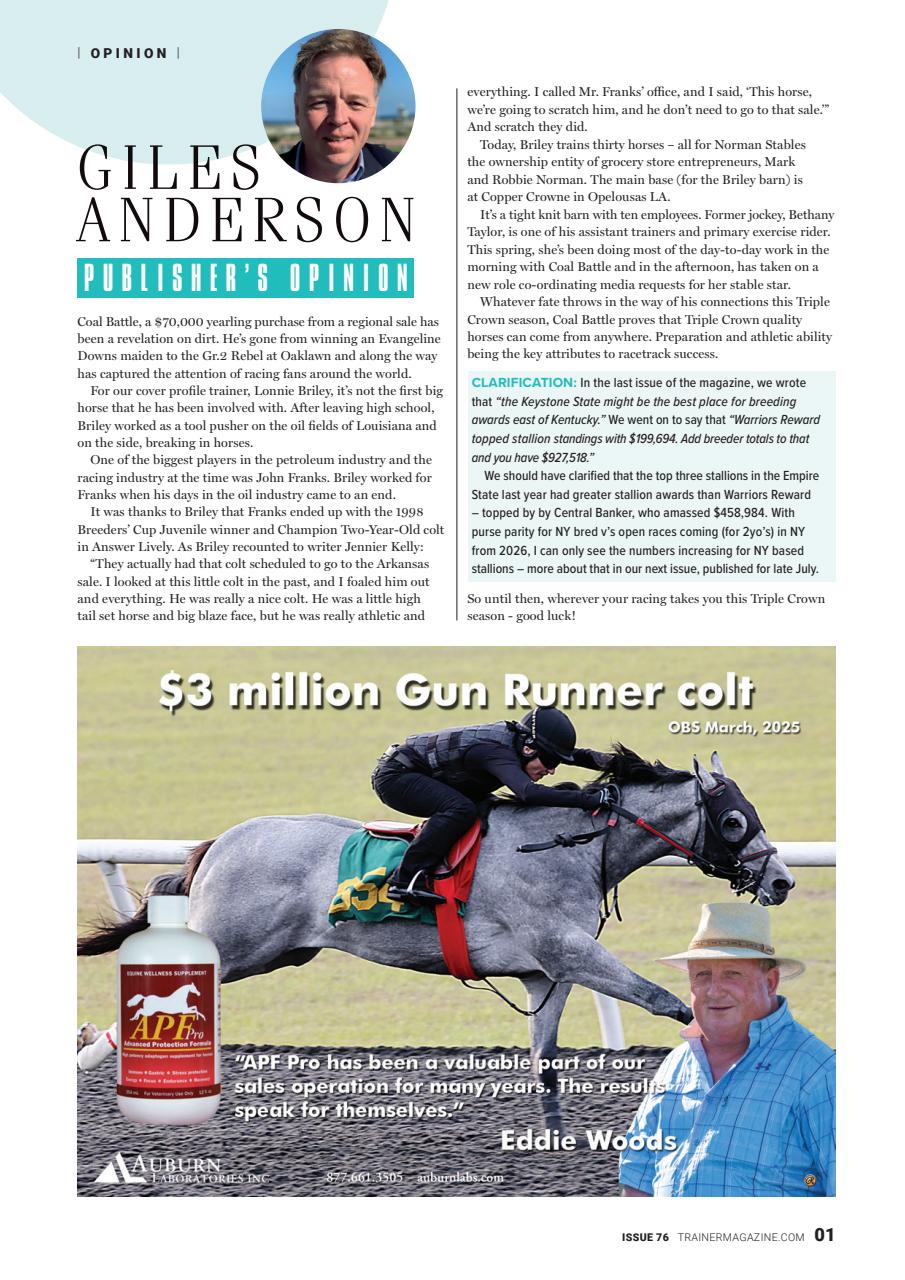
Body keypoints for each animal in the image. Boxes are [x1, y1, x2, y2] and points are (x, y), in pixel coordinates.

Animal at [79, 747, 794, 1134]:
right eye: (734, 821)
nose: (782, 880)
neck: (571, 846)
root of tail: (220, 842)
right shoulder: (570, 951)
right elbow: (666, 1003)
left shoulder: (549, 973)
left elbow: (546, 1066)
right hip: (231, 946)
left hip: (270, 953)